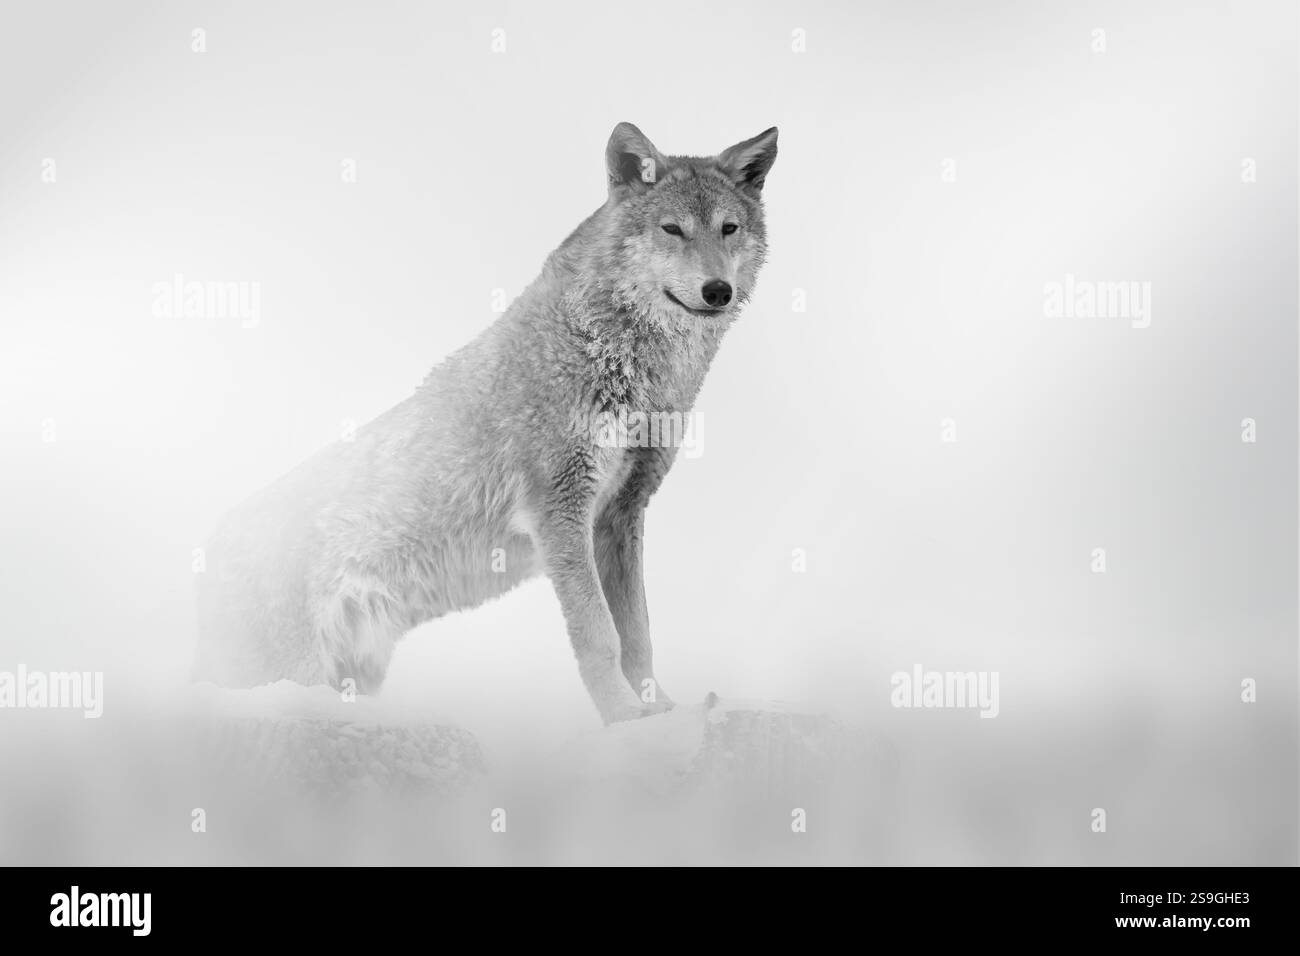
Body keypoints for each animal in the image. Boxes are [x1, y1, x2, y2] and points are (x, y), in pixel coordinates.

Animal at [195, 123, 778, 724]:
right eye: (672, 229)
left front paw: (658, 709)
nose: (717, 291)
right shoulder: (560, 510)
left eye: (728, 229)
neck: (621, 359)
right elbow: (599, 636)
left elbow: (638, 636)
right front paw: (621, 716)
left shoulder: (620, 514)